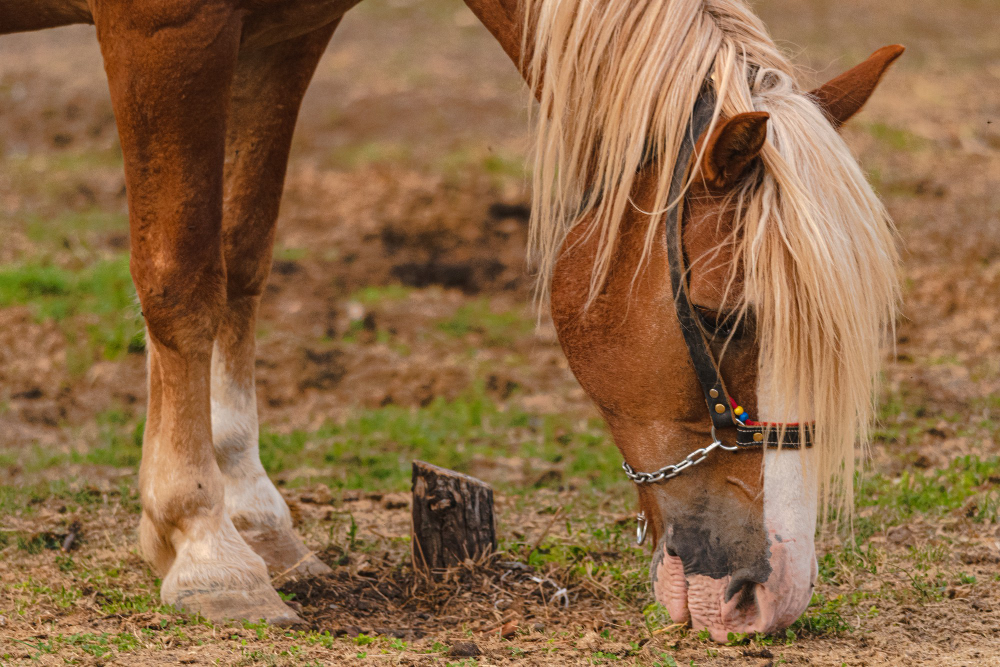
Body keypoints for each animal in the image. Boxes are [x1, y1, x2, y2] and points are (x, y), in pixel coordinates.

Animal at [2, 0, 901, 640]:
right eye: (722, 319)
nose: (771, 595)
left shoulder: (283, 35)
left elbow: (241, 257)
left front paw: (254, 516)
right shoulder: (164, 28)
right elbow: (183, 277)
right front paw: (202, 545)